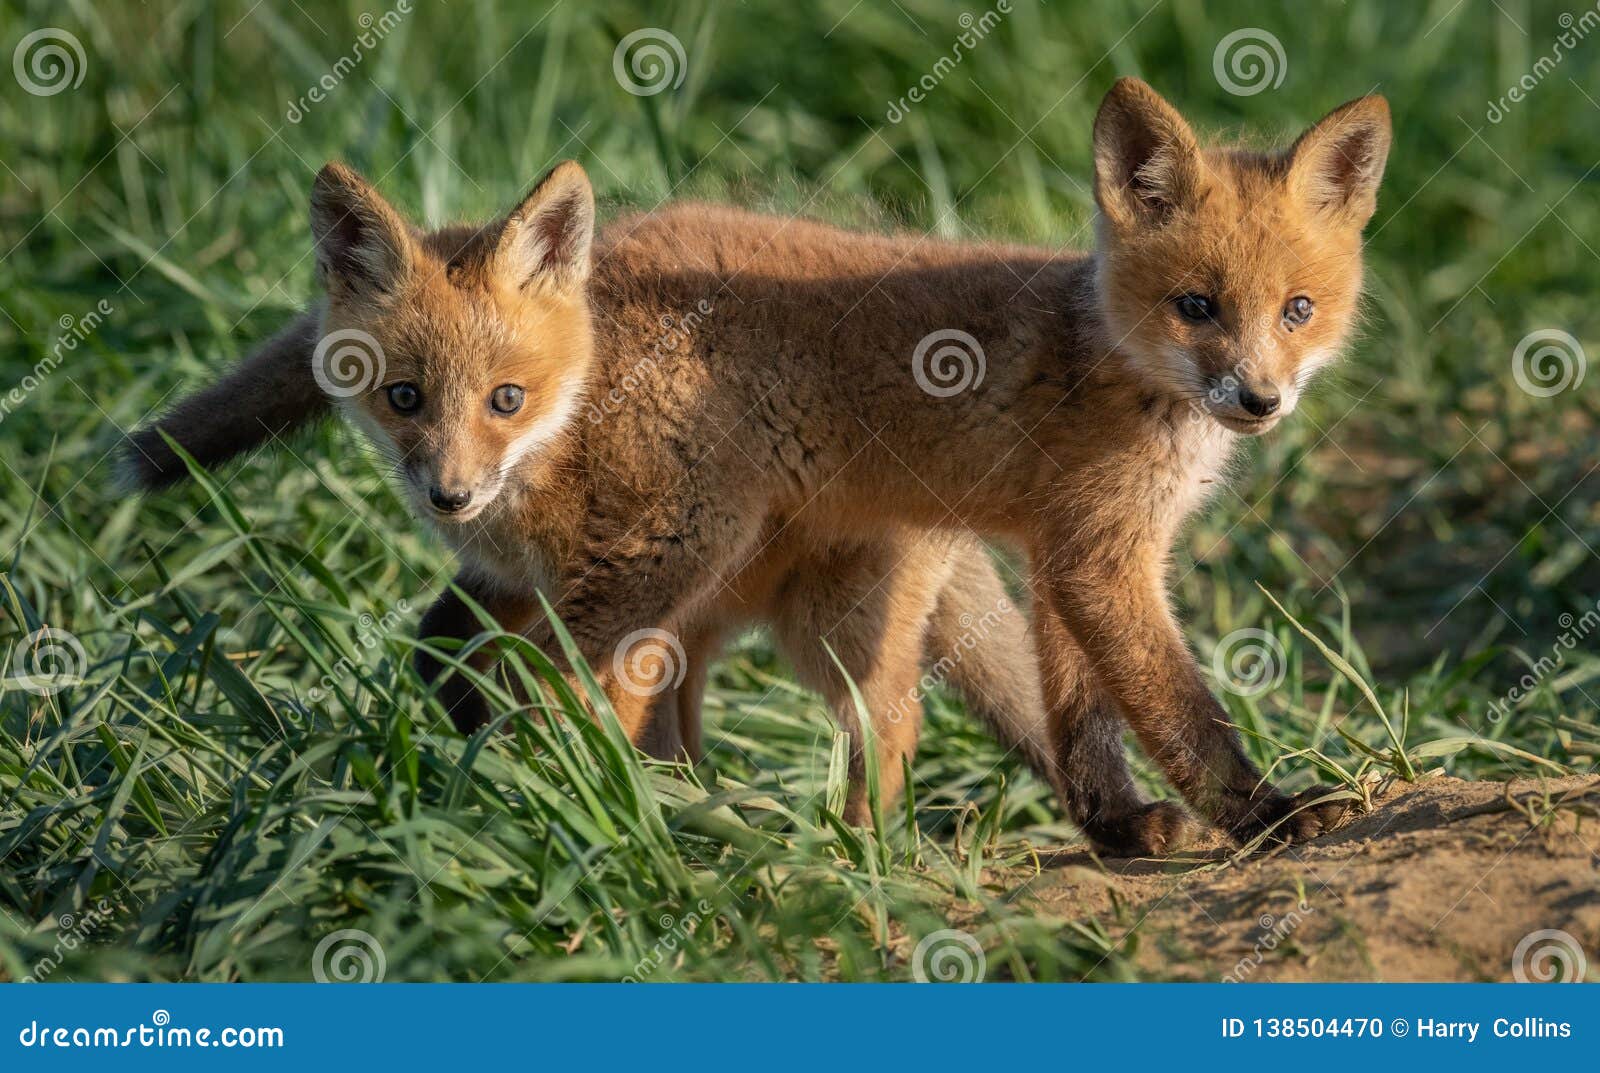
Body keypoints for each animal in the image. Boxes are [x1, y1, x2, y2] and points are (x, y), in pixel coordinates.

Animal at [123, 78, 1391, 855]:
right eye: (1196, 307)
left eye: (1295, 309)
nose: (1259, 400)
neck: (1113, 363)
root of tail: (613, 253)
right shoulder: (1098, 558)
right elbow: (1177, 708)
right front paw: (1264, 813)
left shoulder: (1062, 555)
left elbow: (1080, 716)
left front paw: (1117, 826)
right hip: (680, 546)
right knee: (554, 680)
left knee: (492, 645)